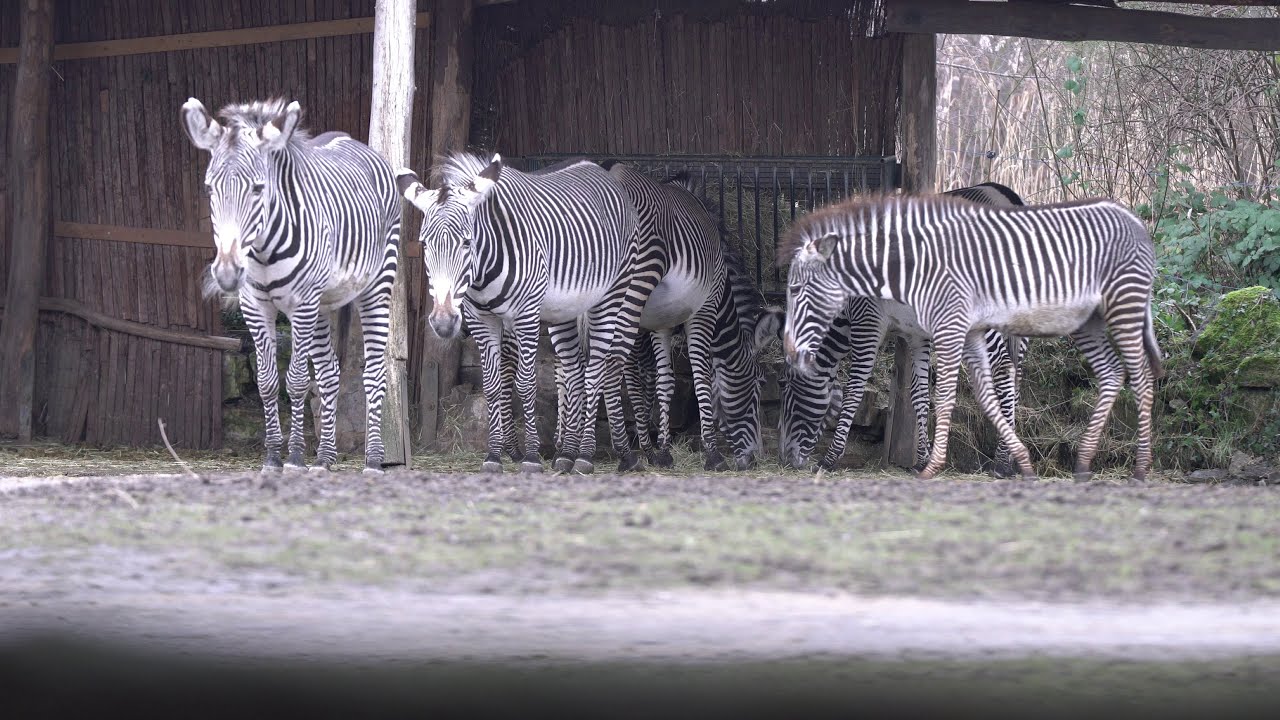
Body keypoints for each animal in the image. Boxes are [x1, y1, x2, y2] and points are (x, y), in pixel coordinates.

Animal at [181, 98, 400, 473]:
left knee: (373, 374)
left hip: (376, 287)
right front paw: (272, 457)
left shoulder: (302, 304)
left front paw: (295, 457)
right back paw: (325, 458)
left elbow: (295, 381)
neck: (263, 249)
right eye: (210, 188)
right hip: (324, 304)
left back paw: (373, 459)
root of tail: (354, 141)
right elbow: (268, 382)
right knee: (328, 373)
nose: (227, 273)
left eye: (258, 188)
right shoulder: (255, 307)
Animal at [396, 154, 656, 474]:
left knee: (597, 370)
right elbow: (493, 385)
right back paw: (566, 454)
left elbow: (525, 383)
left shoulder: (527, 315)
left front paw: (531, 457)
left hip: (613, 294)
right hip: (564, 311)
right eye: (424, 244)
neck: (482, 270)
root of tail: (597, 168)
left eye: (467, 242)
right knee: (574, 371)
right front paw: (493, 456)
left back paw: (588, 455)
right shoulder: (481, 319)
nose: (443, 323)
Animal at [603, 163, 763, 471]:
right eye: (754, 395)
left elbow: (665, 382)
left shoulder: (661, 324)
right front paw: (712, 453)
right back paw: (627, 454)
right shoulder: (704, 311)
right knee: (612, 363)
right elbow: (701, 378)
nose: (752, 460)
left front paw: (664, 450)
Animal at [754, 182, 1029, 472]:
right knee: (1016, 375)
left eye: (783, 383)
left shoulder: (867, 321)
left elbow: (854, 389)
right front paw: (922, 458)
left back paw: (1001, 463)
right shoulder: (915, 334)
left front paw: (831, 457)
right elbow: (919, 393)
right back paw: (1011, 456)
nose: (784, 460)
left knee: (1004, 368)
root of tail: (1006, 197)